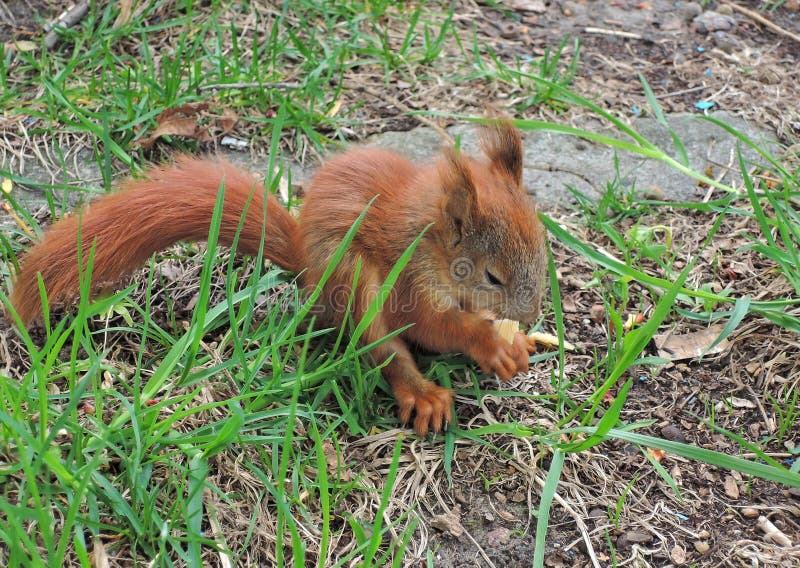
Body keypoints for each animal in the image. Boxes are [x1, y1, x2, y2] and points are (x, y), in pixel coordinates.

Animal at [8, 120, 547, 436]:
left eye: (543, 245)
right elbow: (432, 326)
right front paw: (489, 342)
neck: (433, 243)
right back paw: (422, 394)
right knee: (381, 350)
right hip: (353, 281)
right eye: (493, 276)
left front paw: (515, 339)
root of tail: (306, 262)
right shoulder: (409, 276)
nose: (533, 312)